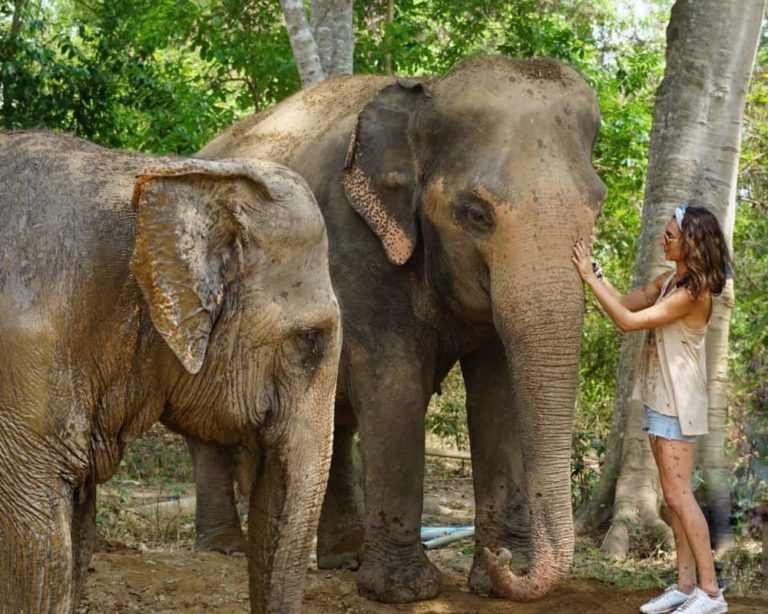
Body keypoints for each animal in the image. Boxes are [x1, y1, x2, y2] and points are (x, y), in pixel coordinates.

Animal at [193, 54, 606, 602]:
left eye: (597, 205)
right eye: (476, 214)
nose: (504, 559)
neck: (428, 92)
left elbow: (498, 392)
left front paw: (493, 579)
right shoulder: (350, 241)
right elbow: (394, 382)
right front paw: (405, 592)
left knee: (332, 419)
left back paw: (344, 557)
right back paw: (224, 548)